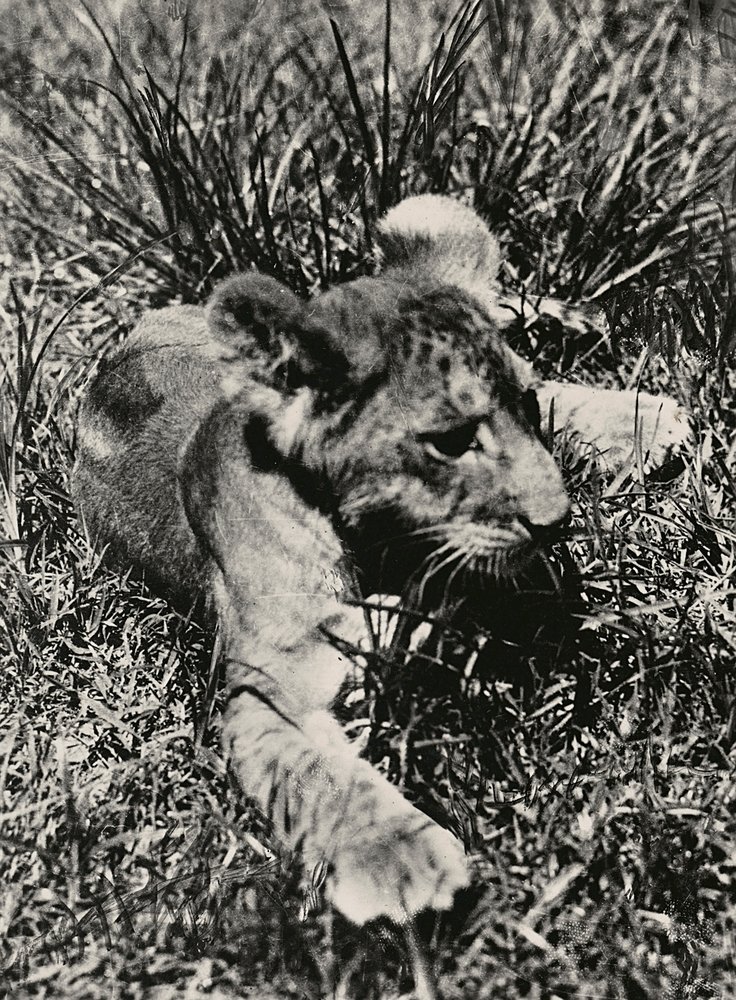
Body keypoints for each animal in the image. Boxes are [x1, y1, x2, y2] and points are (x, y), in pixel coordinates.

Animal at [72, 194, 687, 925]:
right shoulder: (263, 695)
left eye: (527, 408)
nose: (556, 523)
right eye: (450, 442)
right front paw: (400, 860)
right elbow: (321, 776)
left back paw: (645, 419)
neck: (388, 550)